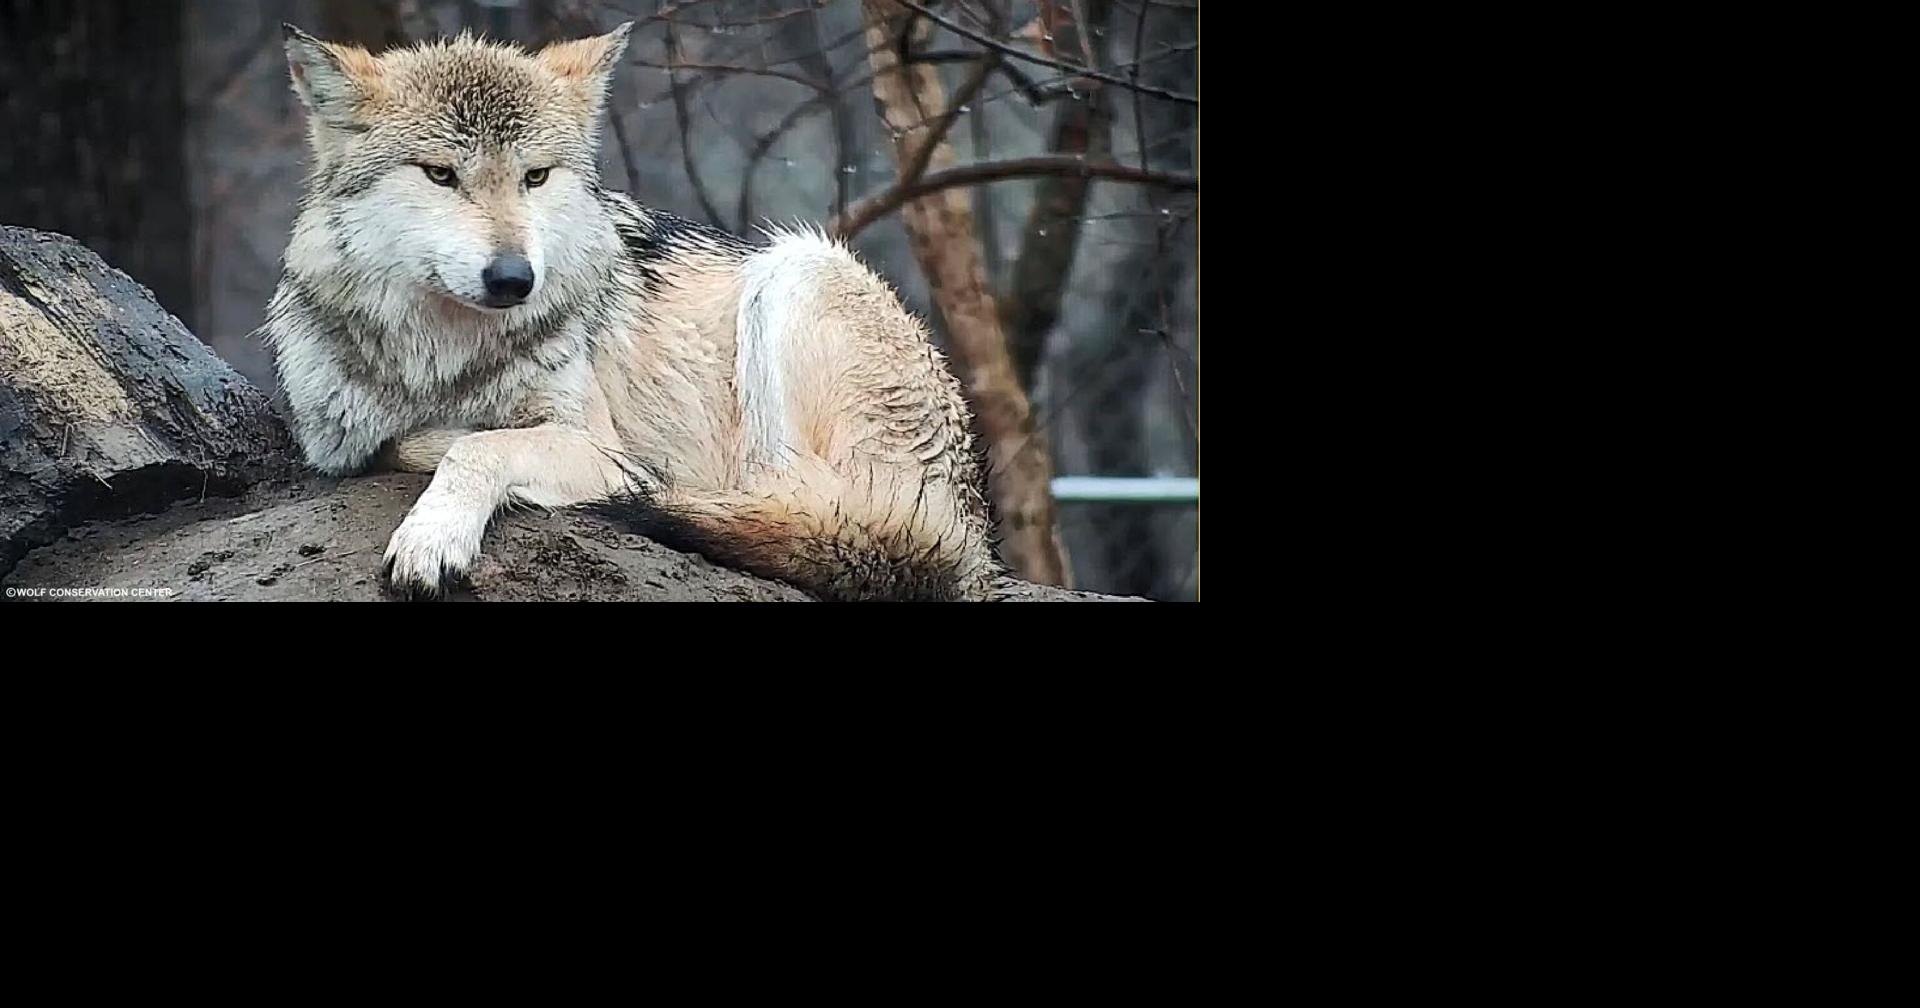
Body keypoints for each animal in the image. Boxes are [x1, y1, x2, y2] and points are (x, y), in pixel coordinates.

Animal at [259, 21, 1000, 600]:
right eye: (440, 175)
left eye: (535, 177)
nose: (514, 278)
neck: (441, 361)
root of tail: (968, 530)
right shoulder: (331, 437)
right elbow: (415, 442)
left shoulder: (591, 441)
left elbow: (480, 445)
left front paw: (432, 533)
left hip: (793, 273)